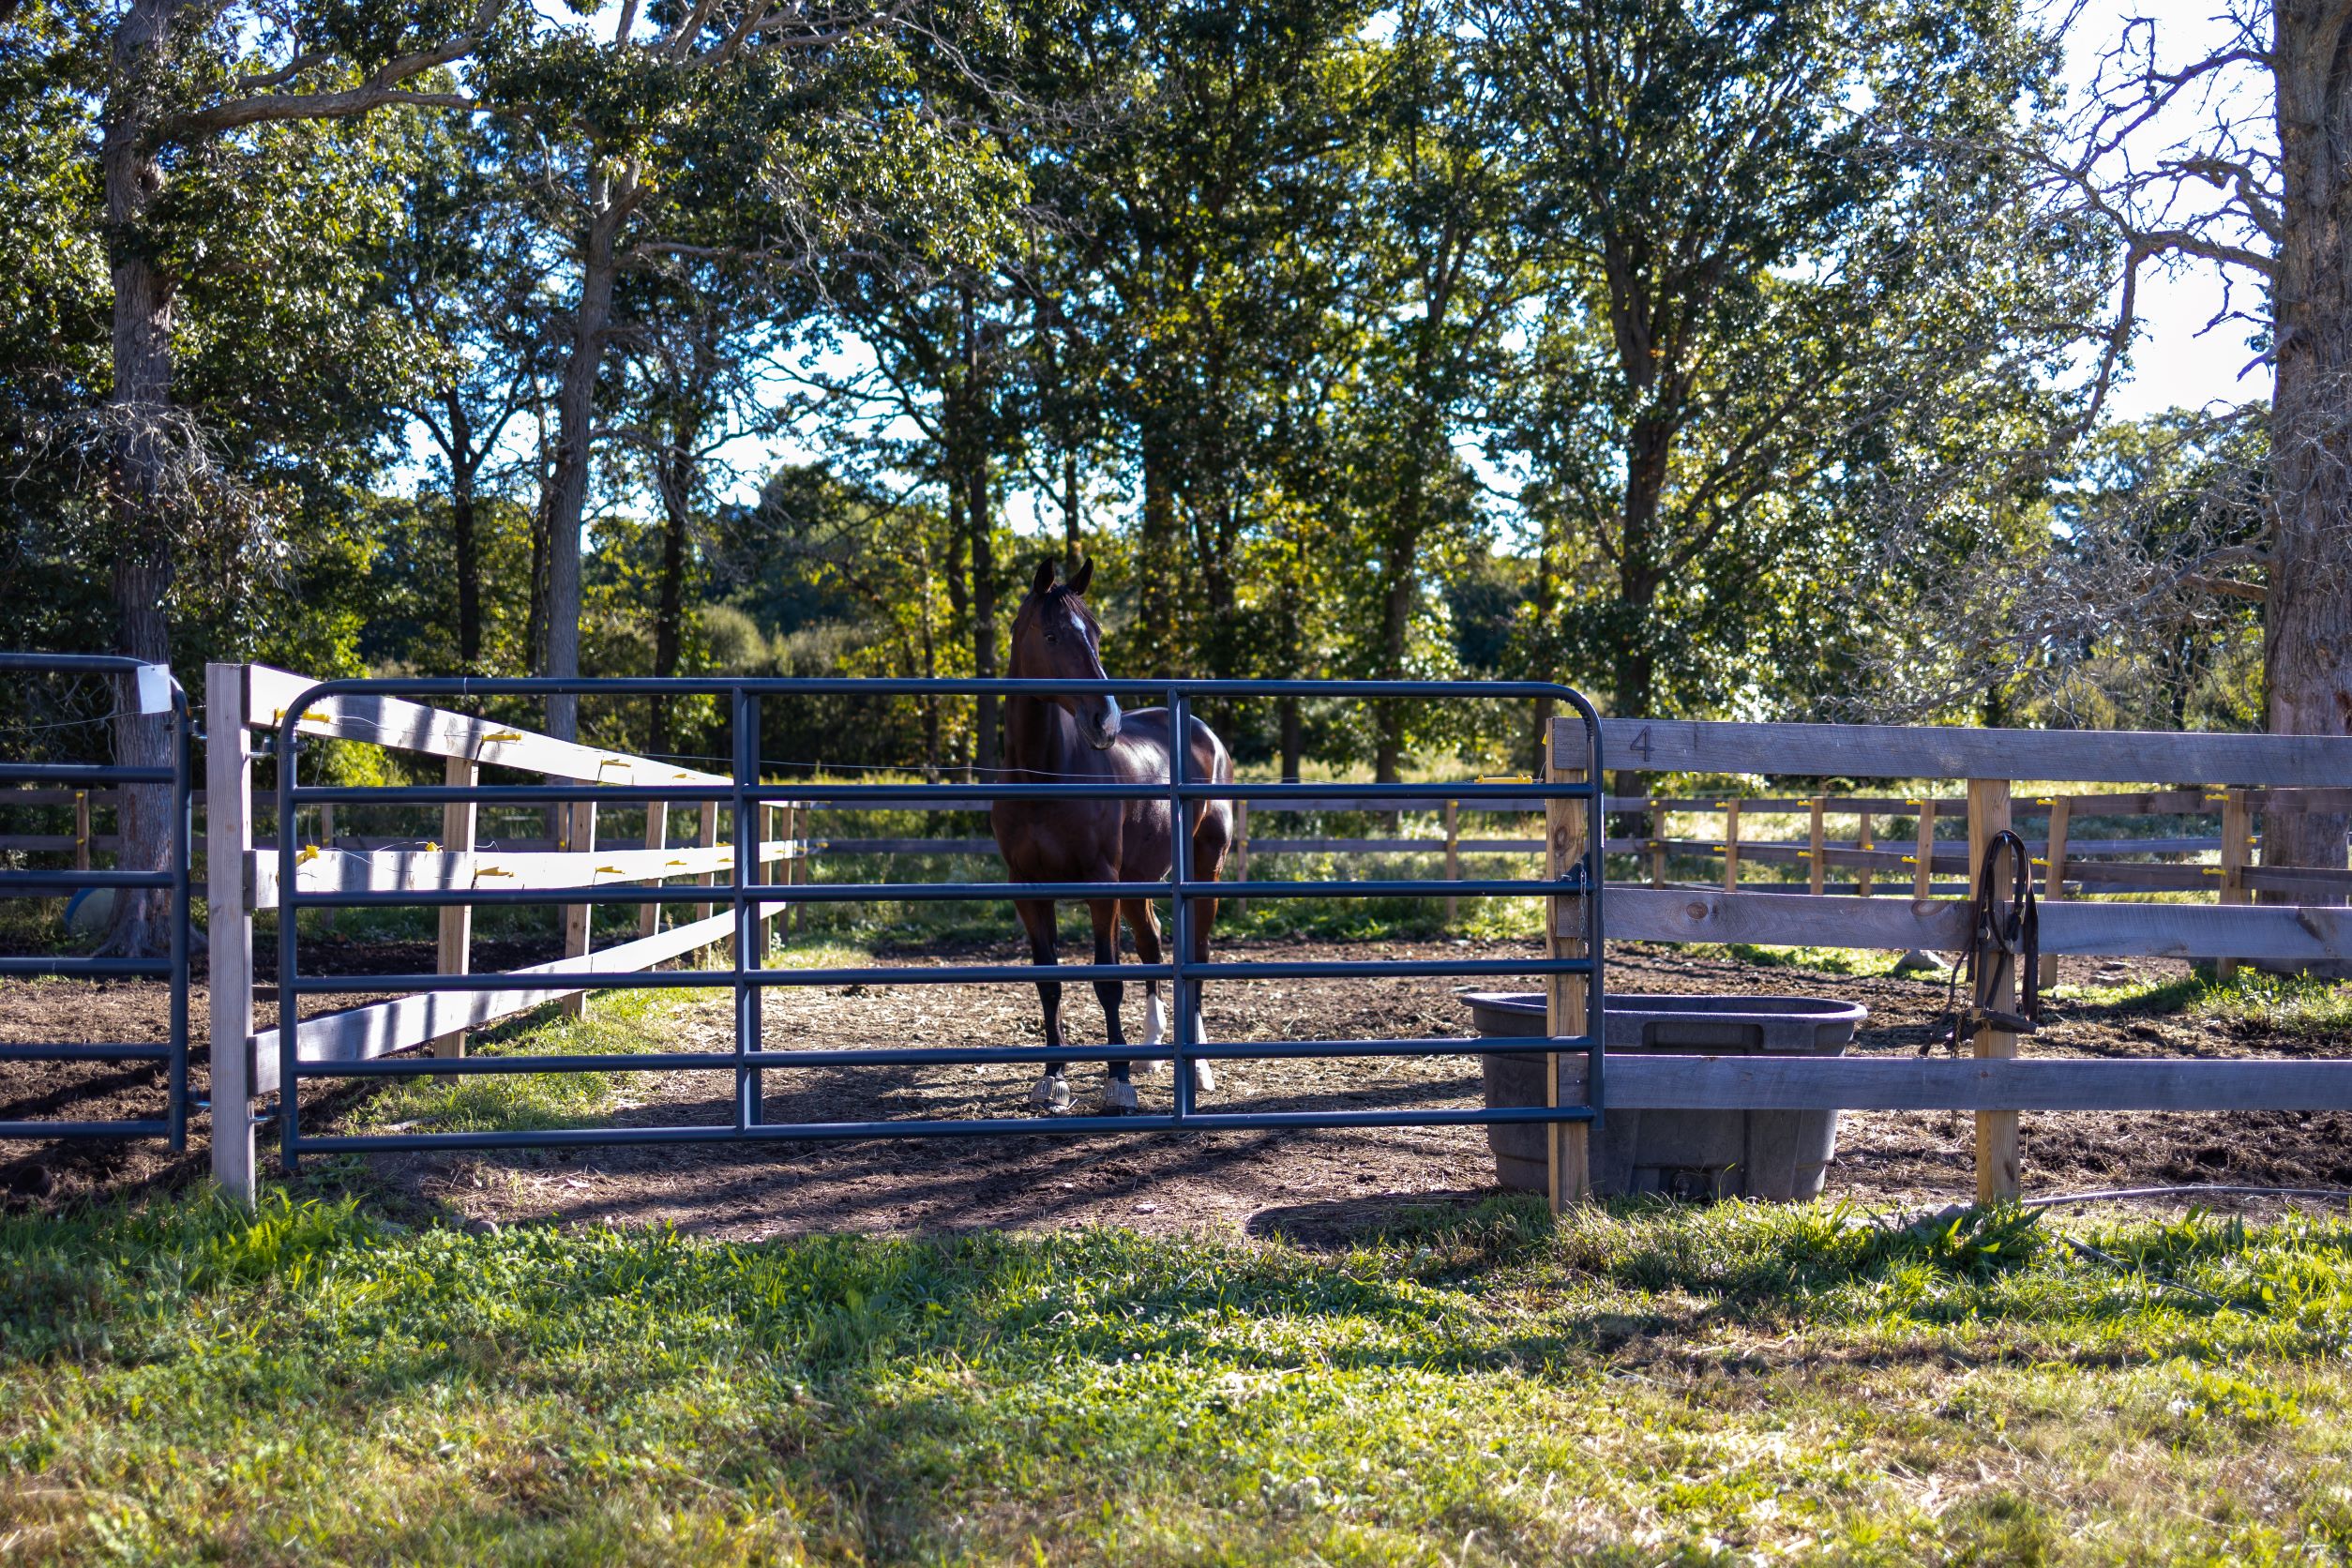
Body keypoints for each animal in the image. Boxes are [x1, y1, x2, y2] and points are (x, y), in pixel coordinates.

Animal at [990, 556, 1233, 1114]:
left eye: (1097, 633)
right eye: (1052, 635)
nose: (1106, 719)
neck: (1045, 775)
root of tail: (1203, 732)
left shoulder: (1101, 885)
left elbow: (1107, 980)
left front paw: (1118, 1082)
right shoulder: (1028, 889)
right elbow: (1049, 983)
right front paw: (1053, 1080)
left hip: (1203, 868)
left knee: (1197, 953)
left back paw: (1198, 1068)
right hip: (1140, 879)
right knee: (1154, 943)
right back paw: (1151, 1050)